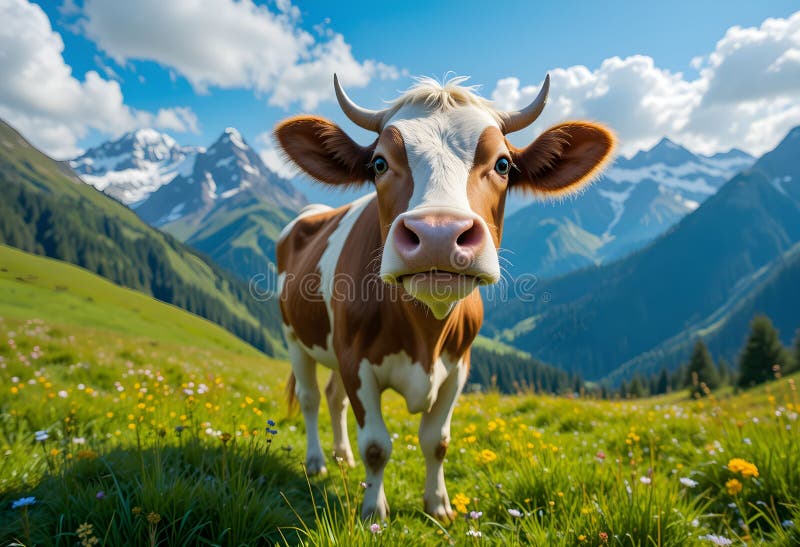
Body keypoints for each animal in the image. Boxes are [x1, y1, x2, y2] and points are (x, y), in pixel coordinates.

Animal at [274, 74, 615, 522]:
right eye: (379, 163)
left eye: (503, 164)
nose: (438, 233)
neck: (425, 334)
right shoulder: (355, 360)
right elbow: (377, 446)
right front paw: (373, 511)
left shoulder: (458, 367)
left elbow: (436, 440)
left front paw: (438, 505)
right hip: (295, 337)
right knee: (312, 398)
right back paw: (316, 461)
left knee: (333, 398)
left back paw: (341, 456)